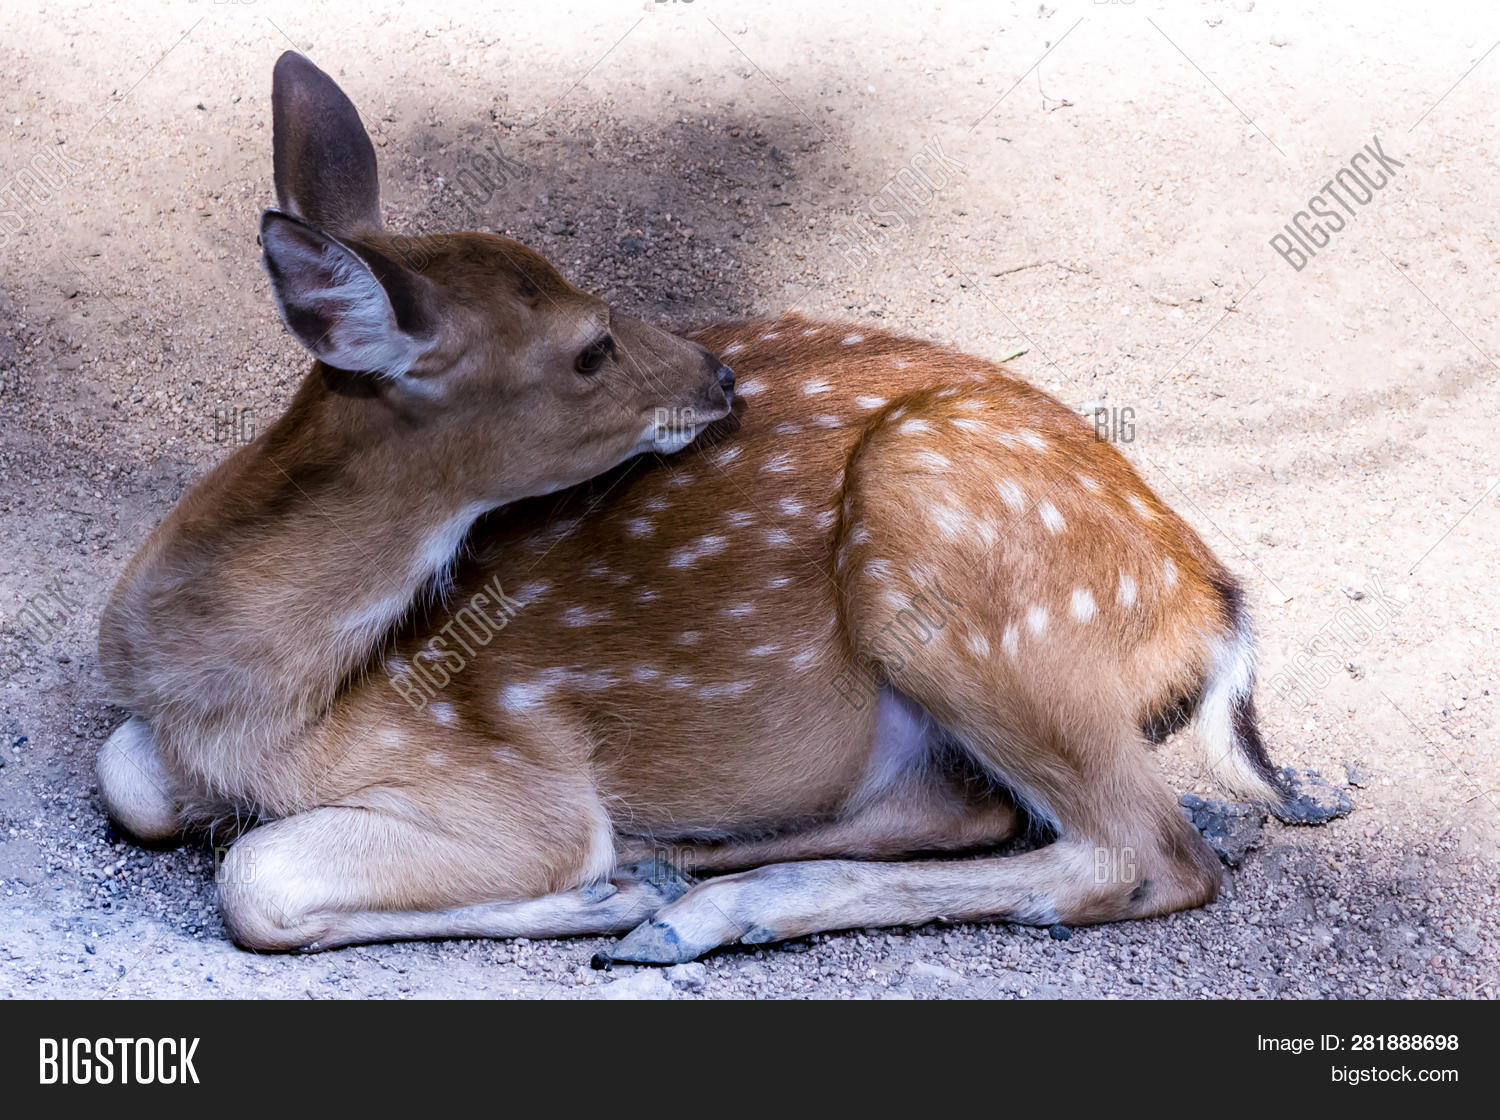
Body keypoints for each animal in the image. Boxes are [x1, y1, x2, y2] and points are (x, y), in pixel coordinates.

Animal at [95, 52, 1285, 965]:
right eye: (589, 348)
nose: (716, 375)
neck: (254, 702)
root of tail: (1212, 605)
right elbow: (129, 775)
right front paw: (620, 887)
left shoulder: (500, 775)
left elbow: (258, 874)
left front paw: (599, 892)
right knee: (965, 807)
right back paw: (682, 872)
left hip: (956, 545)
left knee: (1149, 855)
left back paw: (687, 910)